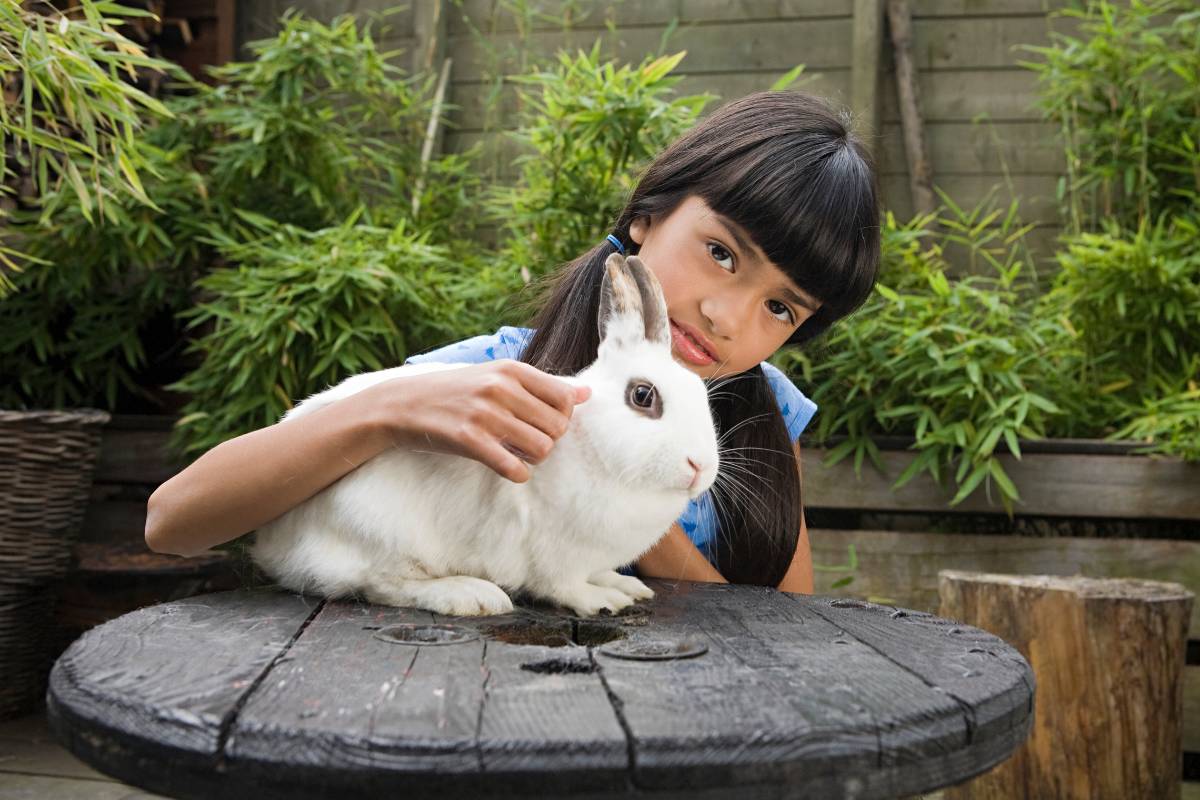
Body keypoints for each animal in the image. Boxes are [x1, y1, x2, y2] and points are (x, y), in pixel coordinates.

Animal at [251, 254, 720, 617]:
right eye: (643, 396)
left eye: (702, 396)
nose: (700, 468)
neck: (594, 447)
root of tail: (274, 544)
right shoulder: (555, 555)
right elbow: (565, 587)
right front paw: (602, 601)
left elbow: (602, 571)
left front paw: (628, 588)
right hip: (380, 531)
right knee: (384, 585)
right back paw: (471, 597)